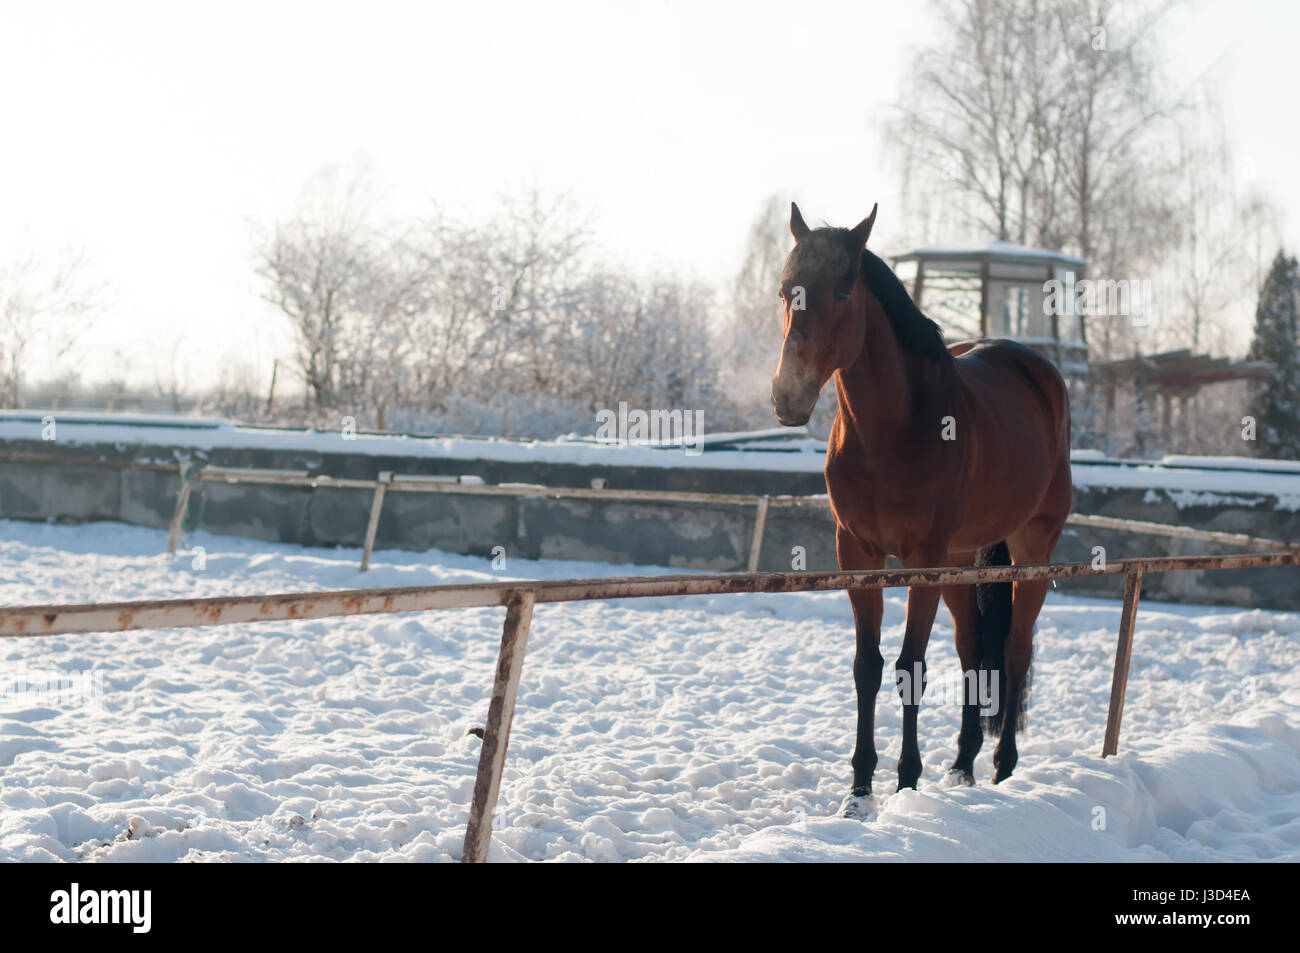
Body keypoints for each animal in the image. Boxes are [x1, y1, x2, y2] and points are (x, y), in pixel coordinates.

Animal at [770, 202, 1072, 815]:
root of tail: (1039, 372)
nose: (787, 399)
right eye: (786, 290)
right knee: (973, 650)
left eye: (843, 290)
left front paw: (906, 779)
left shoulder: (922, 559)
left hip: (1031, 549)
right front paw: (859, 790)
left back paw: (1003, 767)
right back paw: (961, 766)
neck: (893, 430)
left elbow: (911, 666)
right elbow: (868, 667)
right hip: (960, 561)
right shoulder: (858, 553)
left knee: (1016, 648)